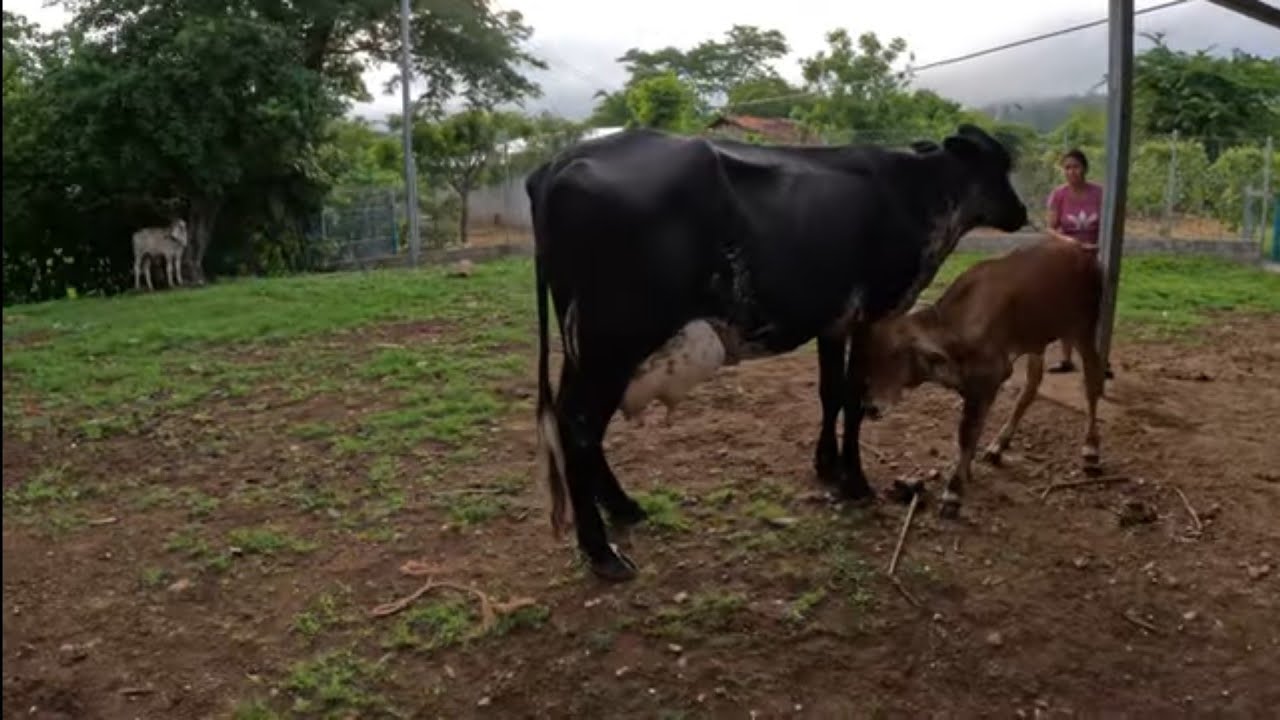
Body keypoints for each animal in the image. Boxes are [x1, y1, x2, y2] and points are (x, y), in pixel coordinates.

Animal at [527, 124, 1029, 582]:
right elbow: (854, 397)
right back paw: (600, 550)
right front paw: (855, 481)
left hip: (585, 348)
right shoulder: (871, 314)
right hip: (612, 343)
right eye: (999, 166)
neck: (918, 189)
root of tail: (560, 161)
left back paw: (622, 507)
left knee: (574, 422)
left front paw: (827, 467)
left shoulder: (835, 320)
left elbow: (831, 392)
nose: (1022, 211)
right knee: (580, 426)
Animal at [861, 236, 1106, 518]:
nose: (870, 407)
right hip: (1037, 340)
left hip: (1082, 327)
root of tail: (1080, 247)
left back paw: (1091, 449)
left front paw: (953, 492)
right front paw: (967, 472)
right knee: (1031, 386)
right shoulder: (980, 386)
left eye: (895, 354)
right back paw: (999, 445)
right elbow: (974, 430)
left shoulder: (988, 380)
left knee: (1092, 380)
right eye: (867, 354)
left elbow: (967, 432)